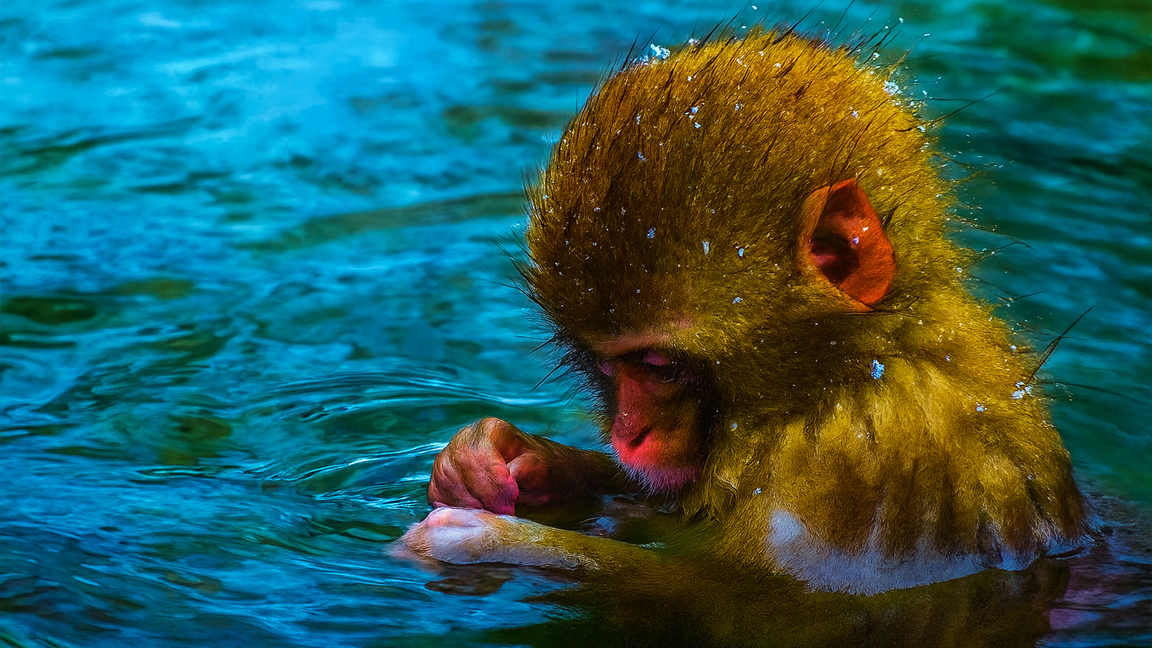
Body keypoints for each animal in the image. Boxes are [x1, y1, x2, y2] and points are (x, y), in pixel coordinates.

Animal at [397, 28, 1095, 597]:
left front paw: (492, 544)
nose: (628, 435)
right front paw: (495, 459)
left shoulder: (869, 458)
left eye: (660, 366)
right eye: (604, 367)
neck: (860, 366)